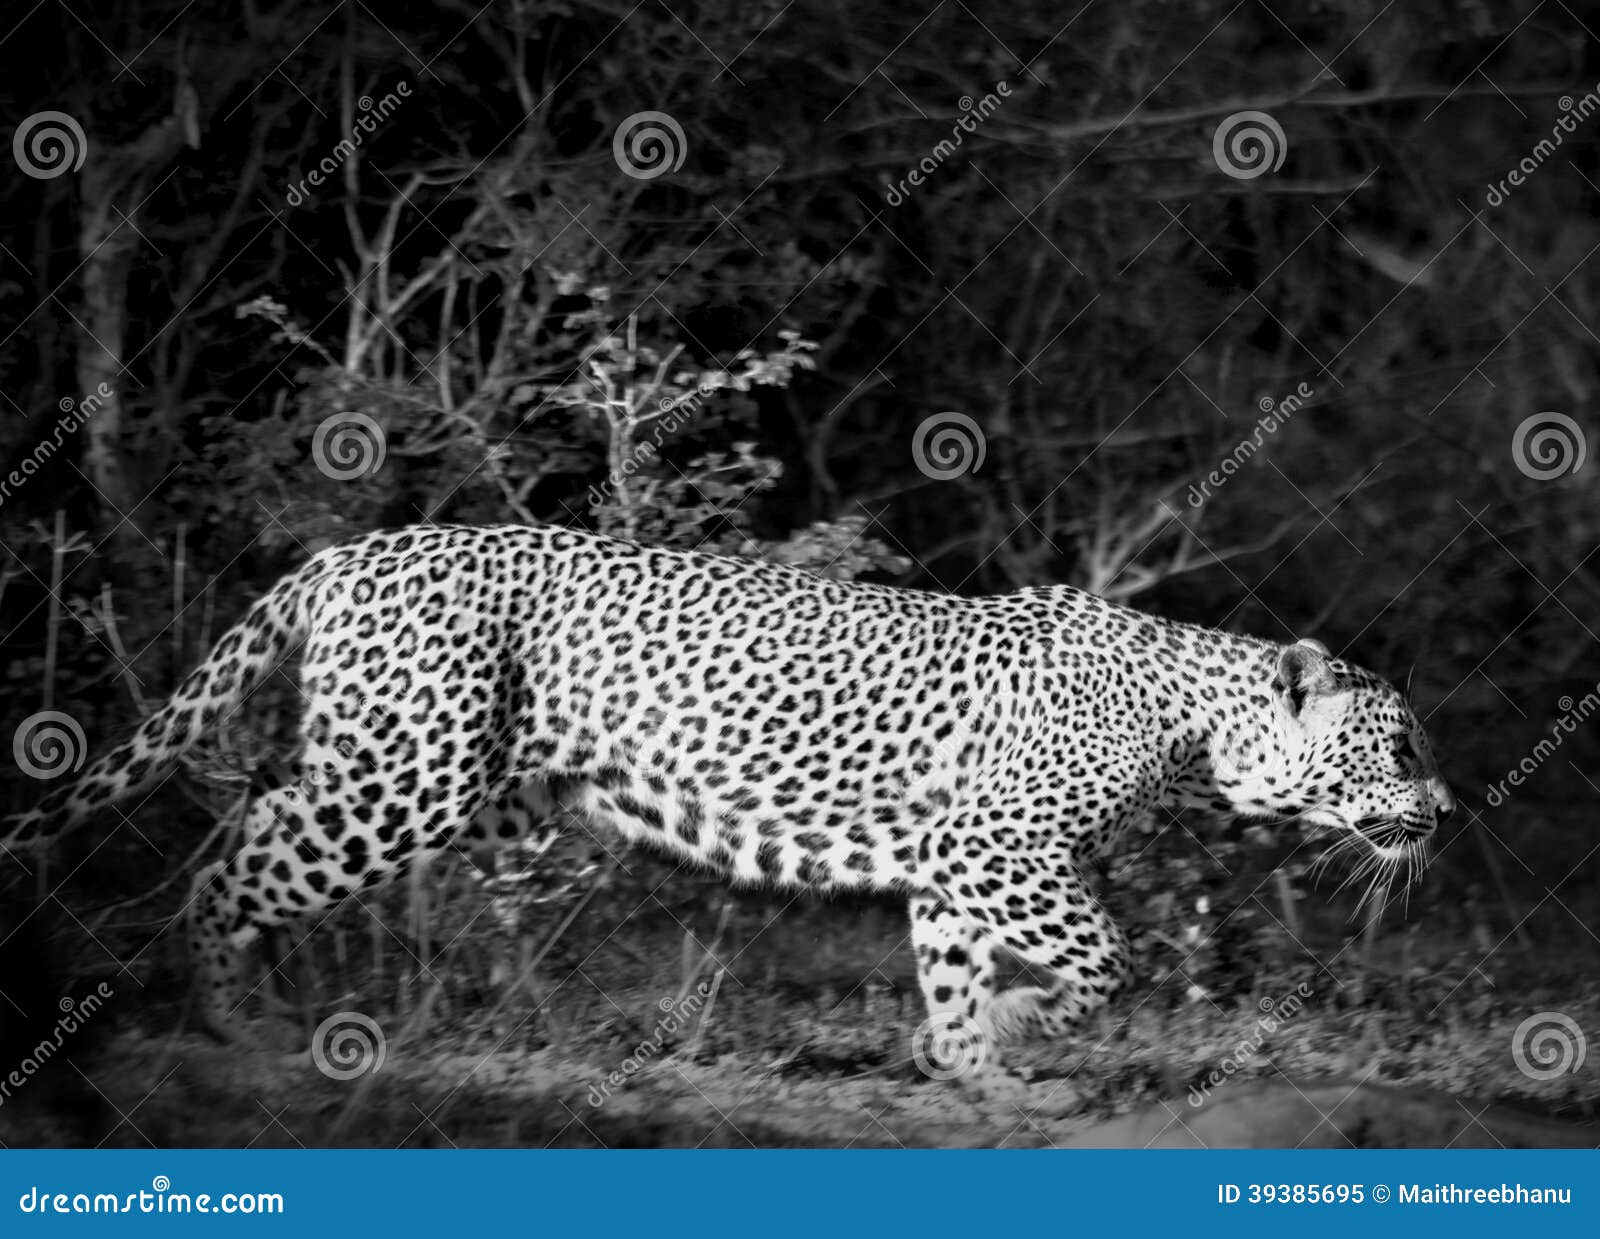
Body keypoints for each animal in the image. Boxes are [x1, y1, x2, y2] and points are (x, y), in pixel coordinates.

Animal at [1, 523, 1454, 1073]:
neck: (1202, 723)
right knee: (224, 862)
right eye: (1393, 746)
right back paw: (232, 1020)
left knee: (237, 824)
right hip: (400, 778)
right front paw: (1020, 1033)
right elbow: (1108, 953)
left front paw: (973, 1069)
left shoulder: (951, 868)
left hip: (394, 768)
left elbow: (953, 974)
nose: (1442, 808)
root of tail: (347, 548)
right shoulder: (1001, 847)